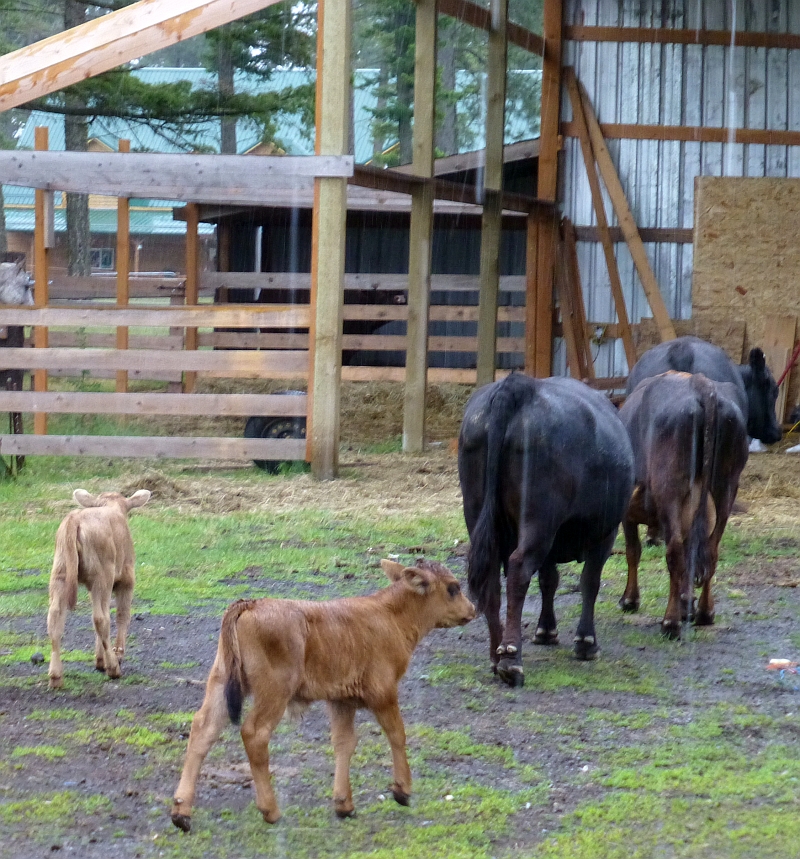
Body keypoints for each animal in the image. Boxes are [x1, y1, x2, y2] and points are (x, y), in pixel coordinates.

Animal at [47, 489, 151, 689]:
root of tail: (74, 519)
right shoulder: (127, 578)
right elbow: (122, 614)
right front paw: (116, 655)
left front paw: (99, 658)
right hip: (103, 574)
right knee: (101, 618)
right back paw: (113, 667)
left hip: (60, 572)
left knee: (55, 616)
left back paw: (56, 677)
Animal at [170, 559, 476, 832]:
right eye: (453, 588)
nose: (472, 609)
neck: (390, 615)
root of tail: (250, 604)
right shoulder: (383, 692)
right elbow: (396, 733)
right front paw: (402, 791)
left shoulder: (341, 700)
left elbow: (344, 743)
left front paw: (344, 805)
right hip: (274, 692)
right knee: (255, 733)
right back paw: (271, 811)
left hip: (221, 683)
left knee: (203, 729)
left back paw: (181, 813)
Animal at [458, 373, 635, 688]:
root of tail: (520, 387)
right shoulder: (605, 533)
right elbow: (589, 581)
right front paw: (586, 642)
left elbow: (549, 579)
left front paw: (546, 630)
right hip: (540, 520)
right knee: (519, 568)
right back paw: (511, 660)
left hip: (478, 513)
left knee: (491, 579)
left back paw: (496, 654)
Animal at [618, 372, 748, 636]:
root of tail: (700, 384)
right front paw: (687, 602)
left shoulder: (628, 514)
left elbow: (633, 551)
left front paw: (630, 599)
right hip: (726, 488)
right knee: (709, 550)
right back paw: (705, 612)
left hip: (671, 491)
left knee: (675, 553)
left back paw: (670, 622)